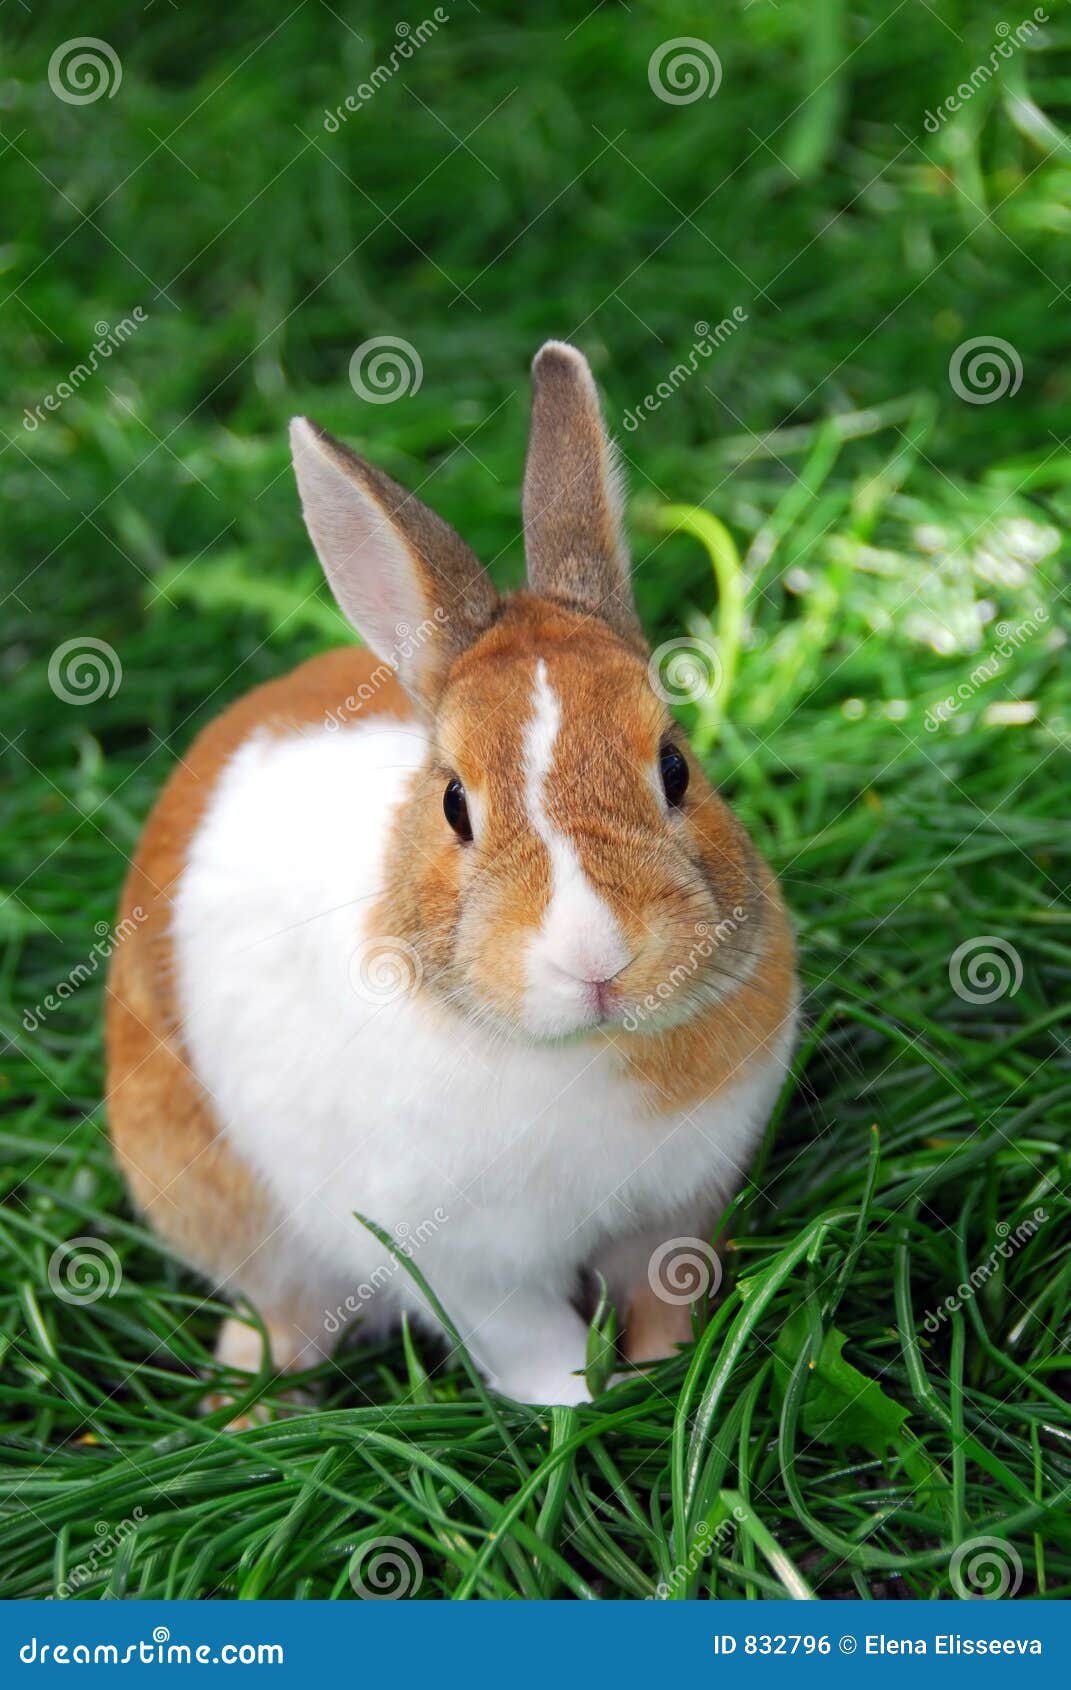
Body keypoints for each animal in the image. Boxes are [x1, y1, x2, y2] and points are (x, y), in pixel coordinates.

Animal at [106, 341, 798, 1408]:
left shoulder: (675, 1208)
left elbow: (660, 1290)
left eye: (675, 766)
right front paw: (579, 1404)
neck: (576, 1050)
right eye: (454, 805)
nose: (596, 958)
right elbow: (526, 1342)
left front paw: (658, 1368)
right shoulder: (461, 1269)